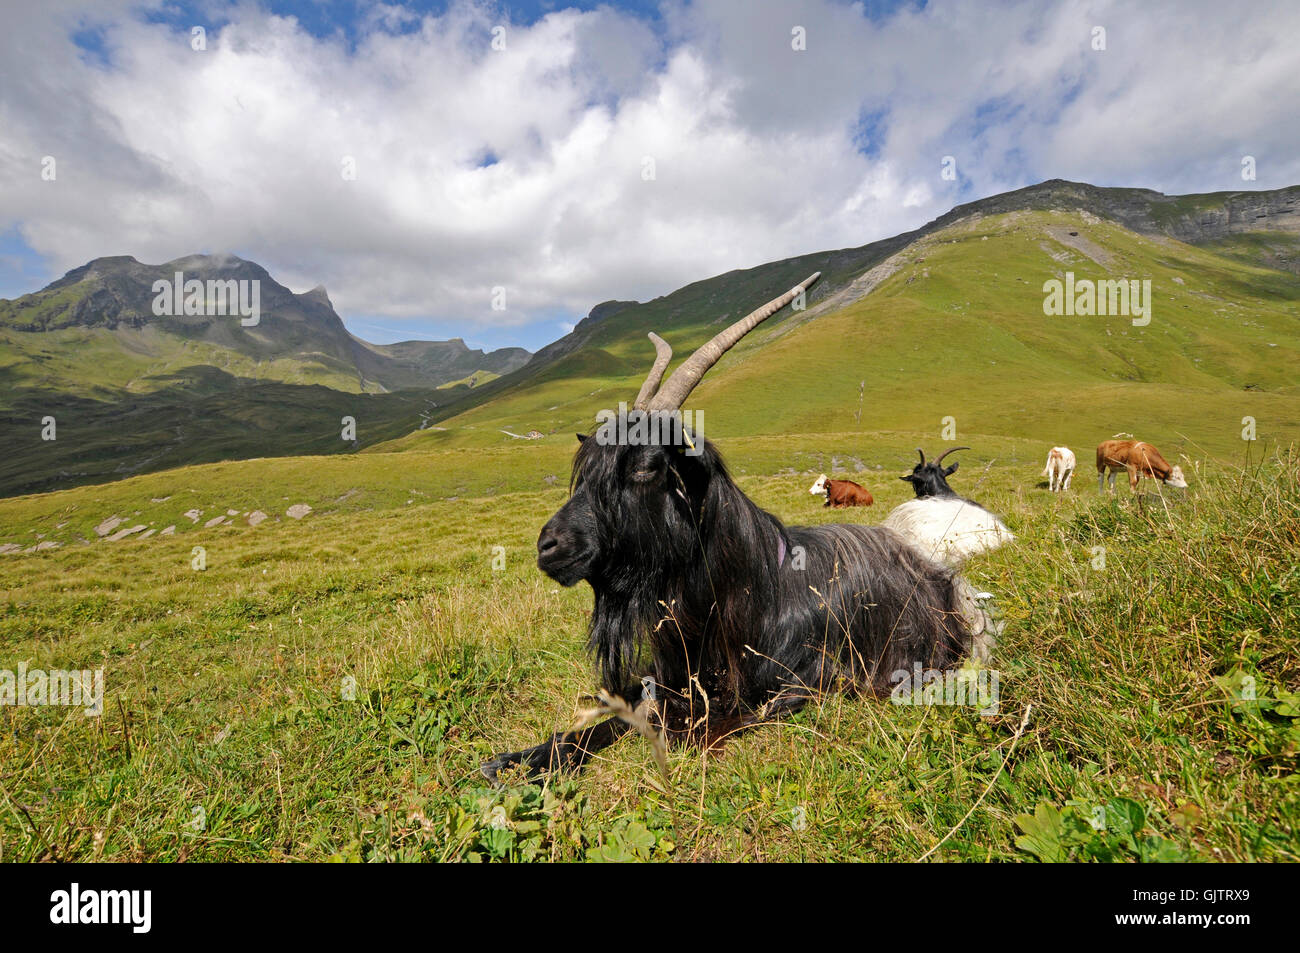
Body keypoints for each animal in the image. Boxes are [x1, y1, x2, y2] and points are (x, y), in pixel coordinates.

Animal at [480, 276, 997, 781]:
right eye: (586, 469)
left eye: (646, 467)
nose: (549, 546)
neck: (750, 591)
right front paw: (517, 759)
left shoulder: (805, 682)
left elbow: (687, 722)